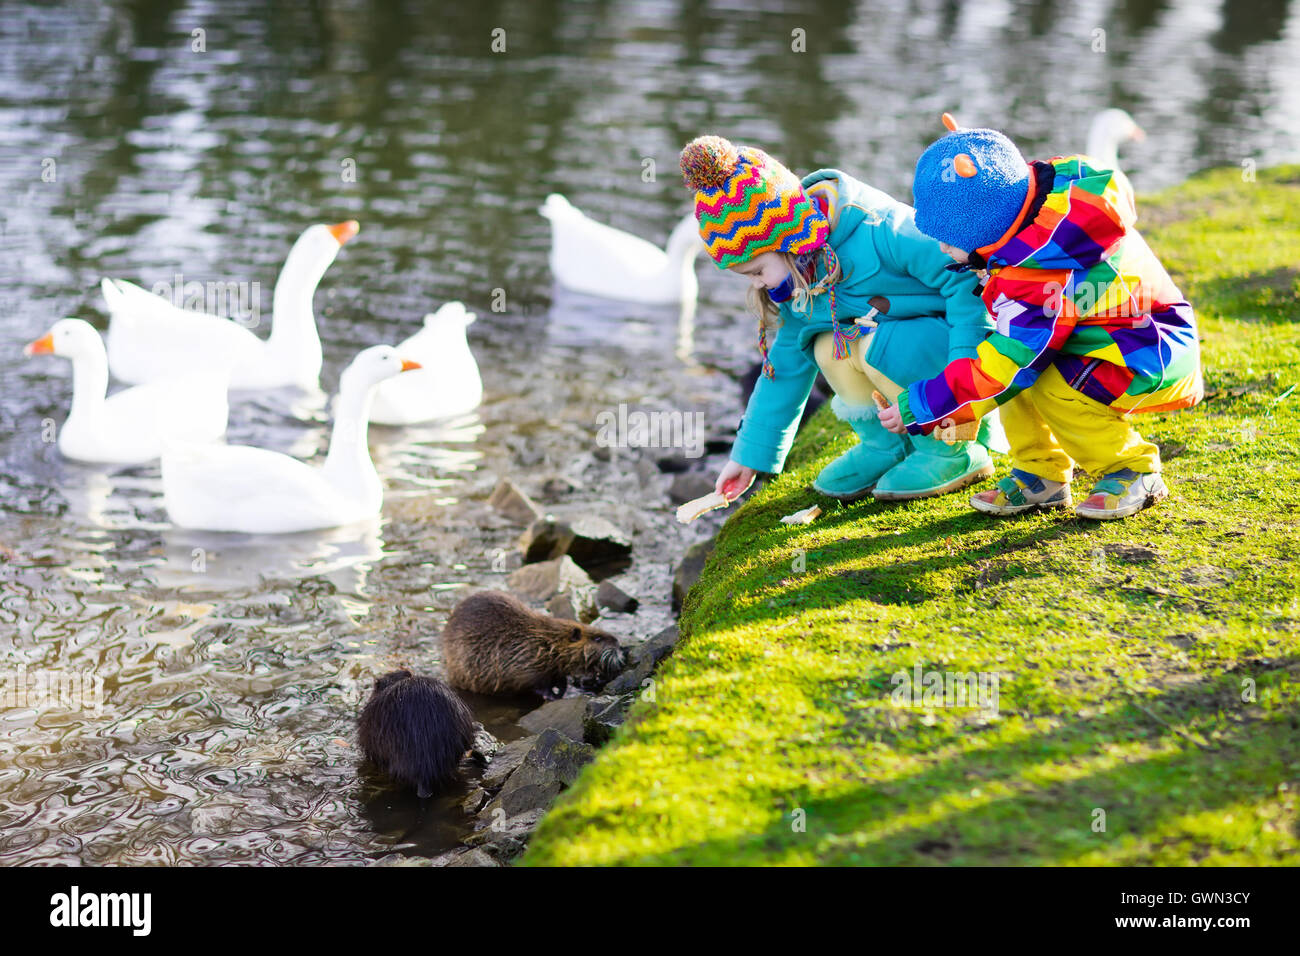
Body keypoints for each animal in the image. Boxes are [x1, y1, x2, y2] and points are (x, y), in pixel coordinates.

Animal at [441, 590, 627, 697]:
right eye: (597, 638)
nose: (619, 643)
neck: (544, 641)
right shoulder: (523, 661)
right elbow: (536, 682)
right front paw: (551, 695)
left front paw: (563, 687)